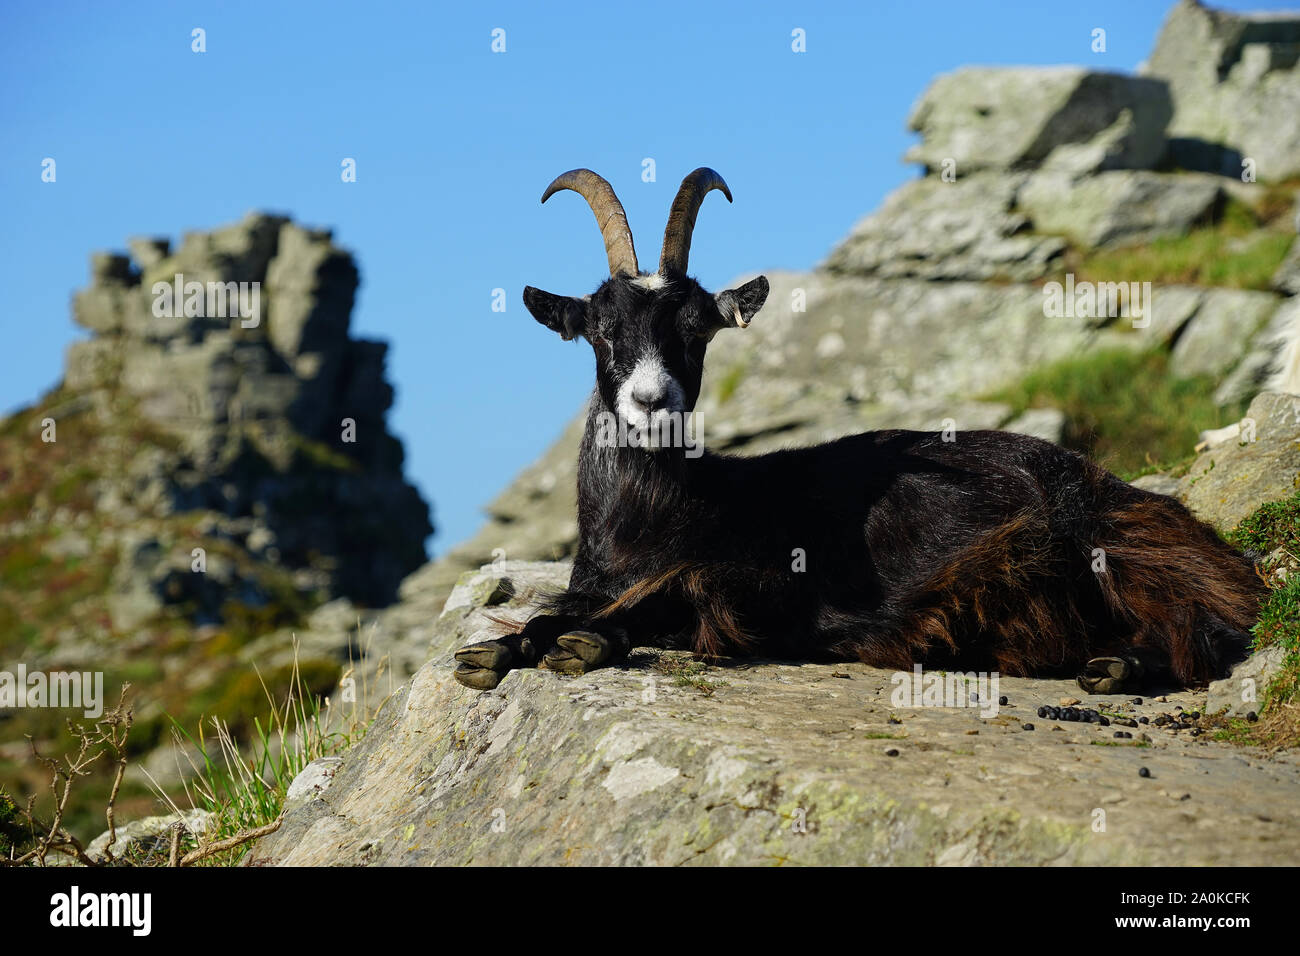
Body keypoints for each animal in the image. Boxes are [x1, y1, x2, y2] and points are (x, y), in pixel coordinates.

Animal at [454, 167, 1265, 695]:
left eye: (698, 329)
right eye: (602, 330)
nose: (653, 403)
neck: (657, 521)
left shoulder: (767, 591)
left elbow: (669, 602)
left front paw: (583, 643)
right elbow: (552, 613)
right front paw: (495, 651)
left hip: (1113, 550)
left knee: (1206, 629)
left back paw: (1122, 666)